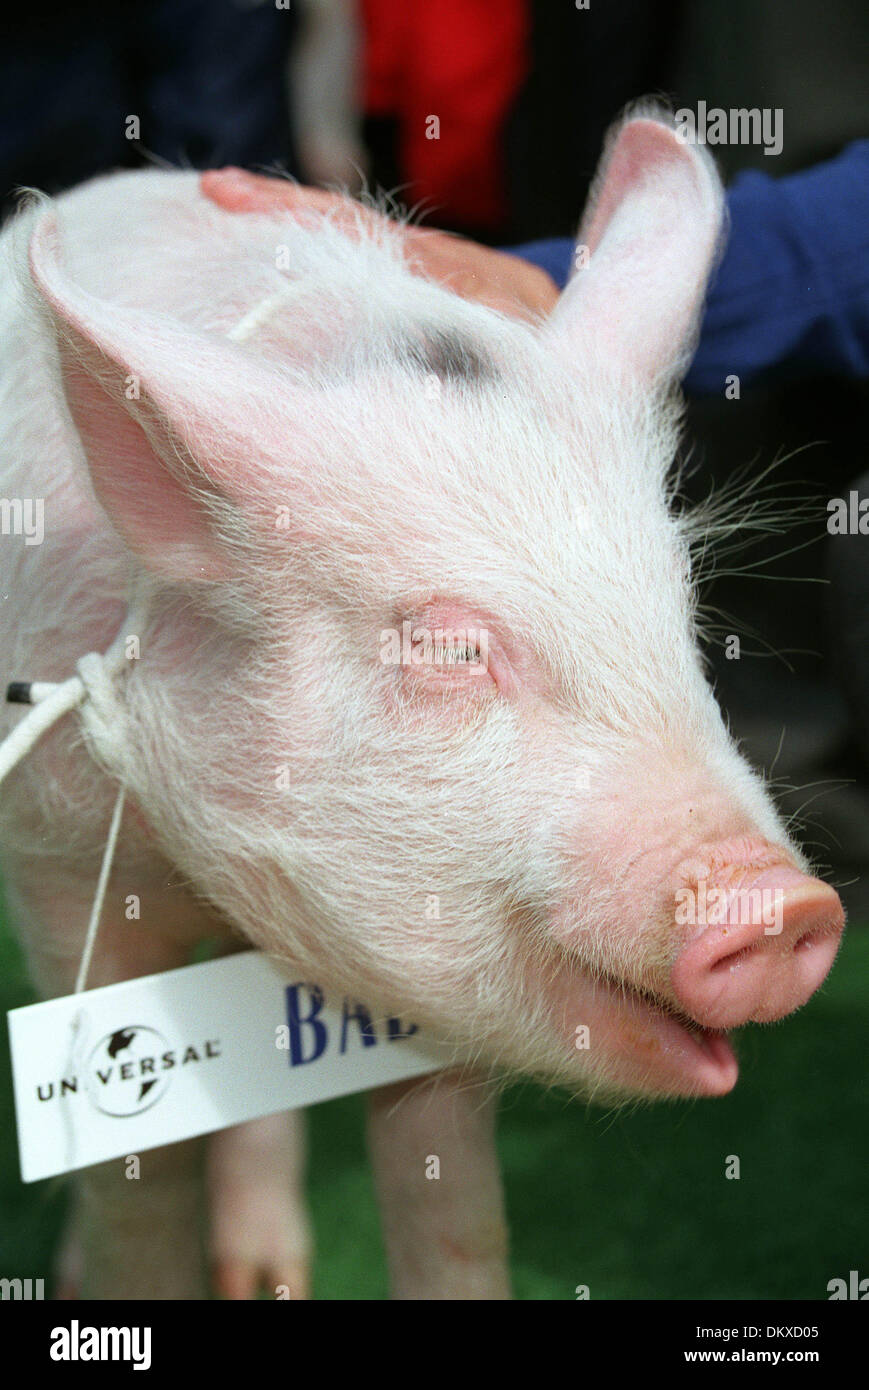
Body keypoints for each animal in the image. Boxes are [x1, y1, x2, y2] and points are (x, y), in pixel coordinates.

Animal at [0, 107, 845, 1300]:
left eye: (676, 610)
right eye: (447, 644)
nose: (783, 905)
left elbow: (450, 1209)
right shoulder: (56, 859)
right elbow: (139, 1179)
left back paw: (268, 1277)